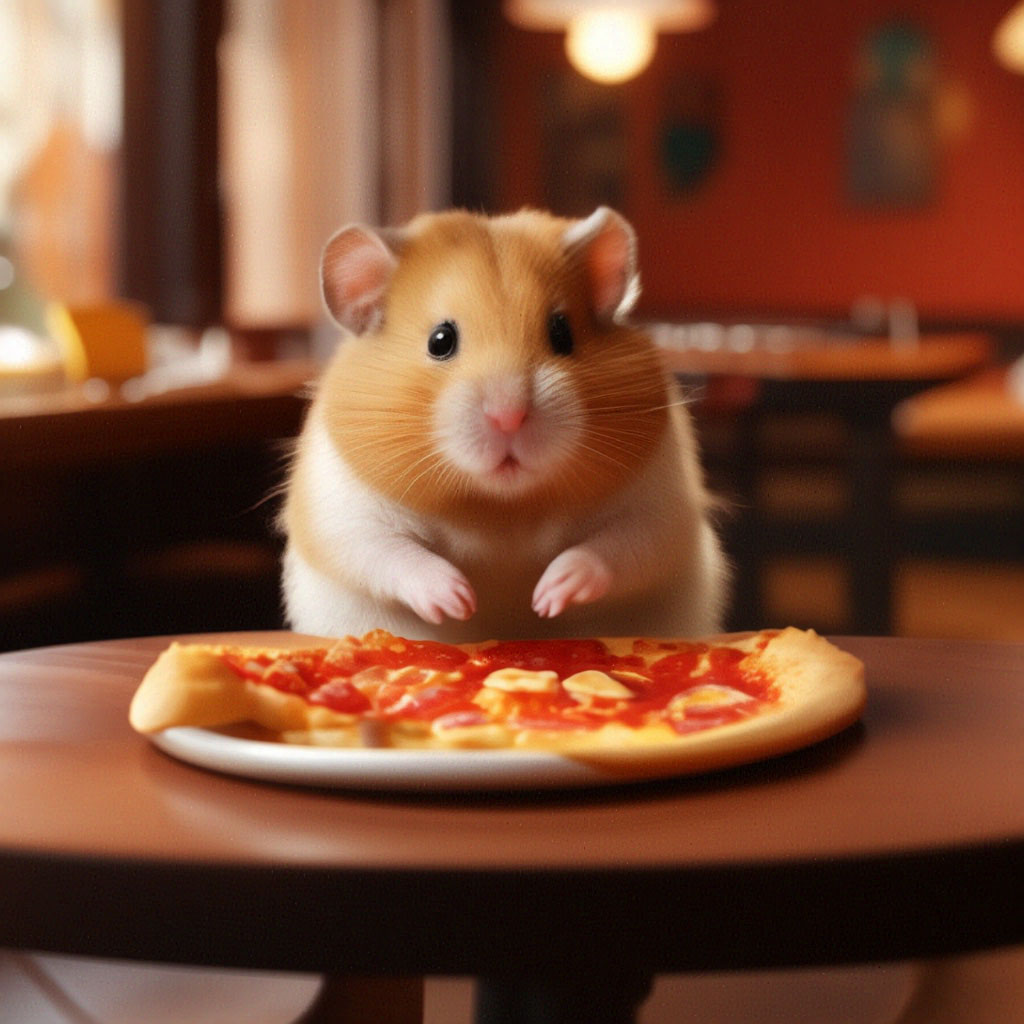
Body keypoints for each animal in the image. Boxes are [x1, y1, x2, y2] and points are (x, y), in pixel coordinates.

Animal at [281, 207, 729, 643]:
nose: (509, 416)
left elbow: (615, 549)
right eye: (440, 340)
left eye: (562, 334)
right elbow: (392, 553)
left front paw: (547, 597)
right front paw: (459, 599)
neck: (502, 506)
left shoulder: (660, 509)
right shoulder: (344, 513)